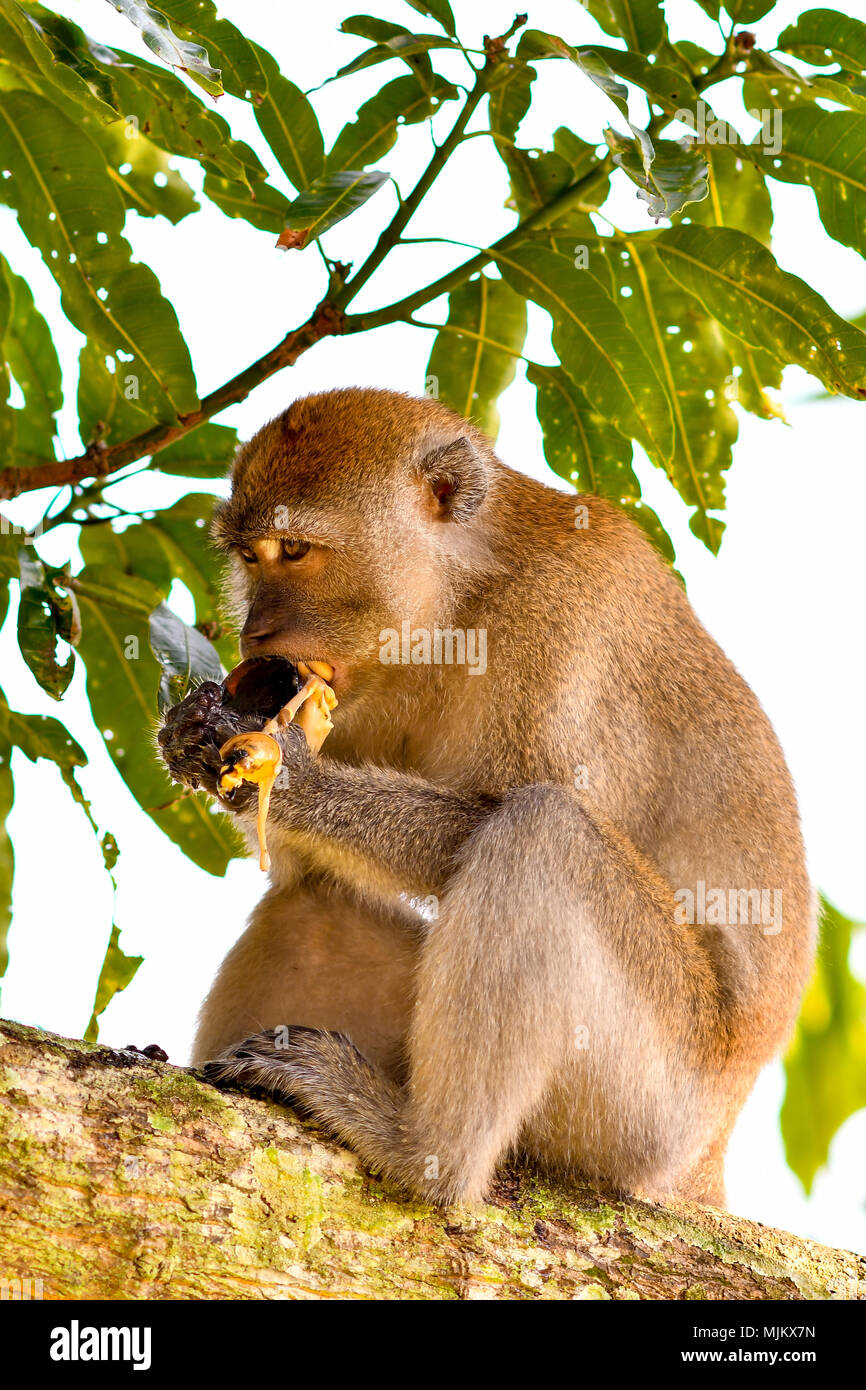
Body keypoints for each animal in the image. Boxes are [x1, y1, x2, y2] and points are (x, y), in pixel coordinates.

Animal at [158, 386, 816, 1209]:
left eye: (297, 550)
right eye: (250, 558)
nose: (254, 632)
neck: (464, 599)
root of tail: (710, 1153)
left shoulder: (562, 625)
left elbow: (500, 813)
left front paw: (291, 775)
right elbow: (300, 868)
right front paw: (194, 732)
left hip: (651, 1112)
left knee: (544, 830)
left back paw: (425, 1156)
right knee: (309, 905)